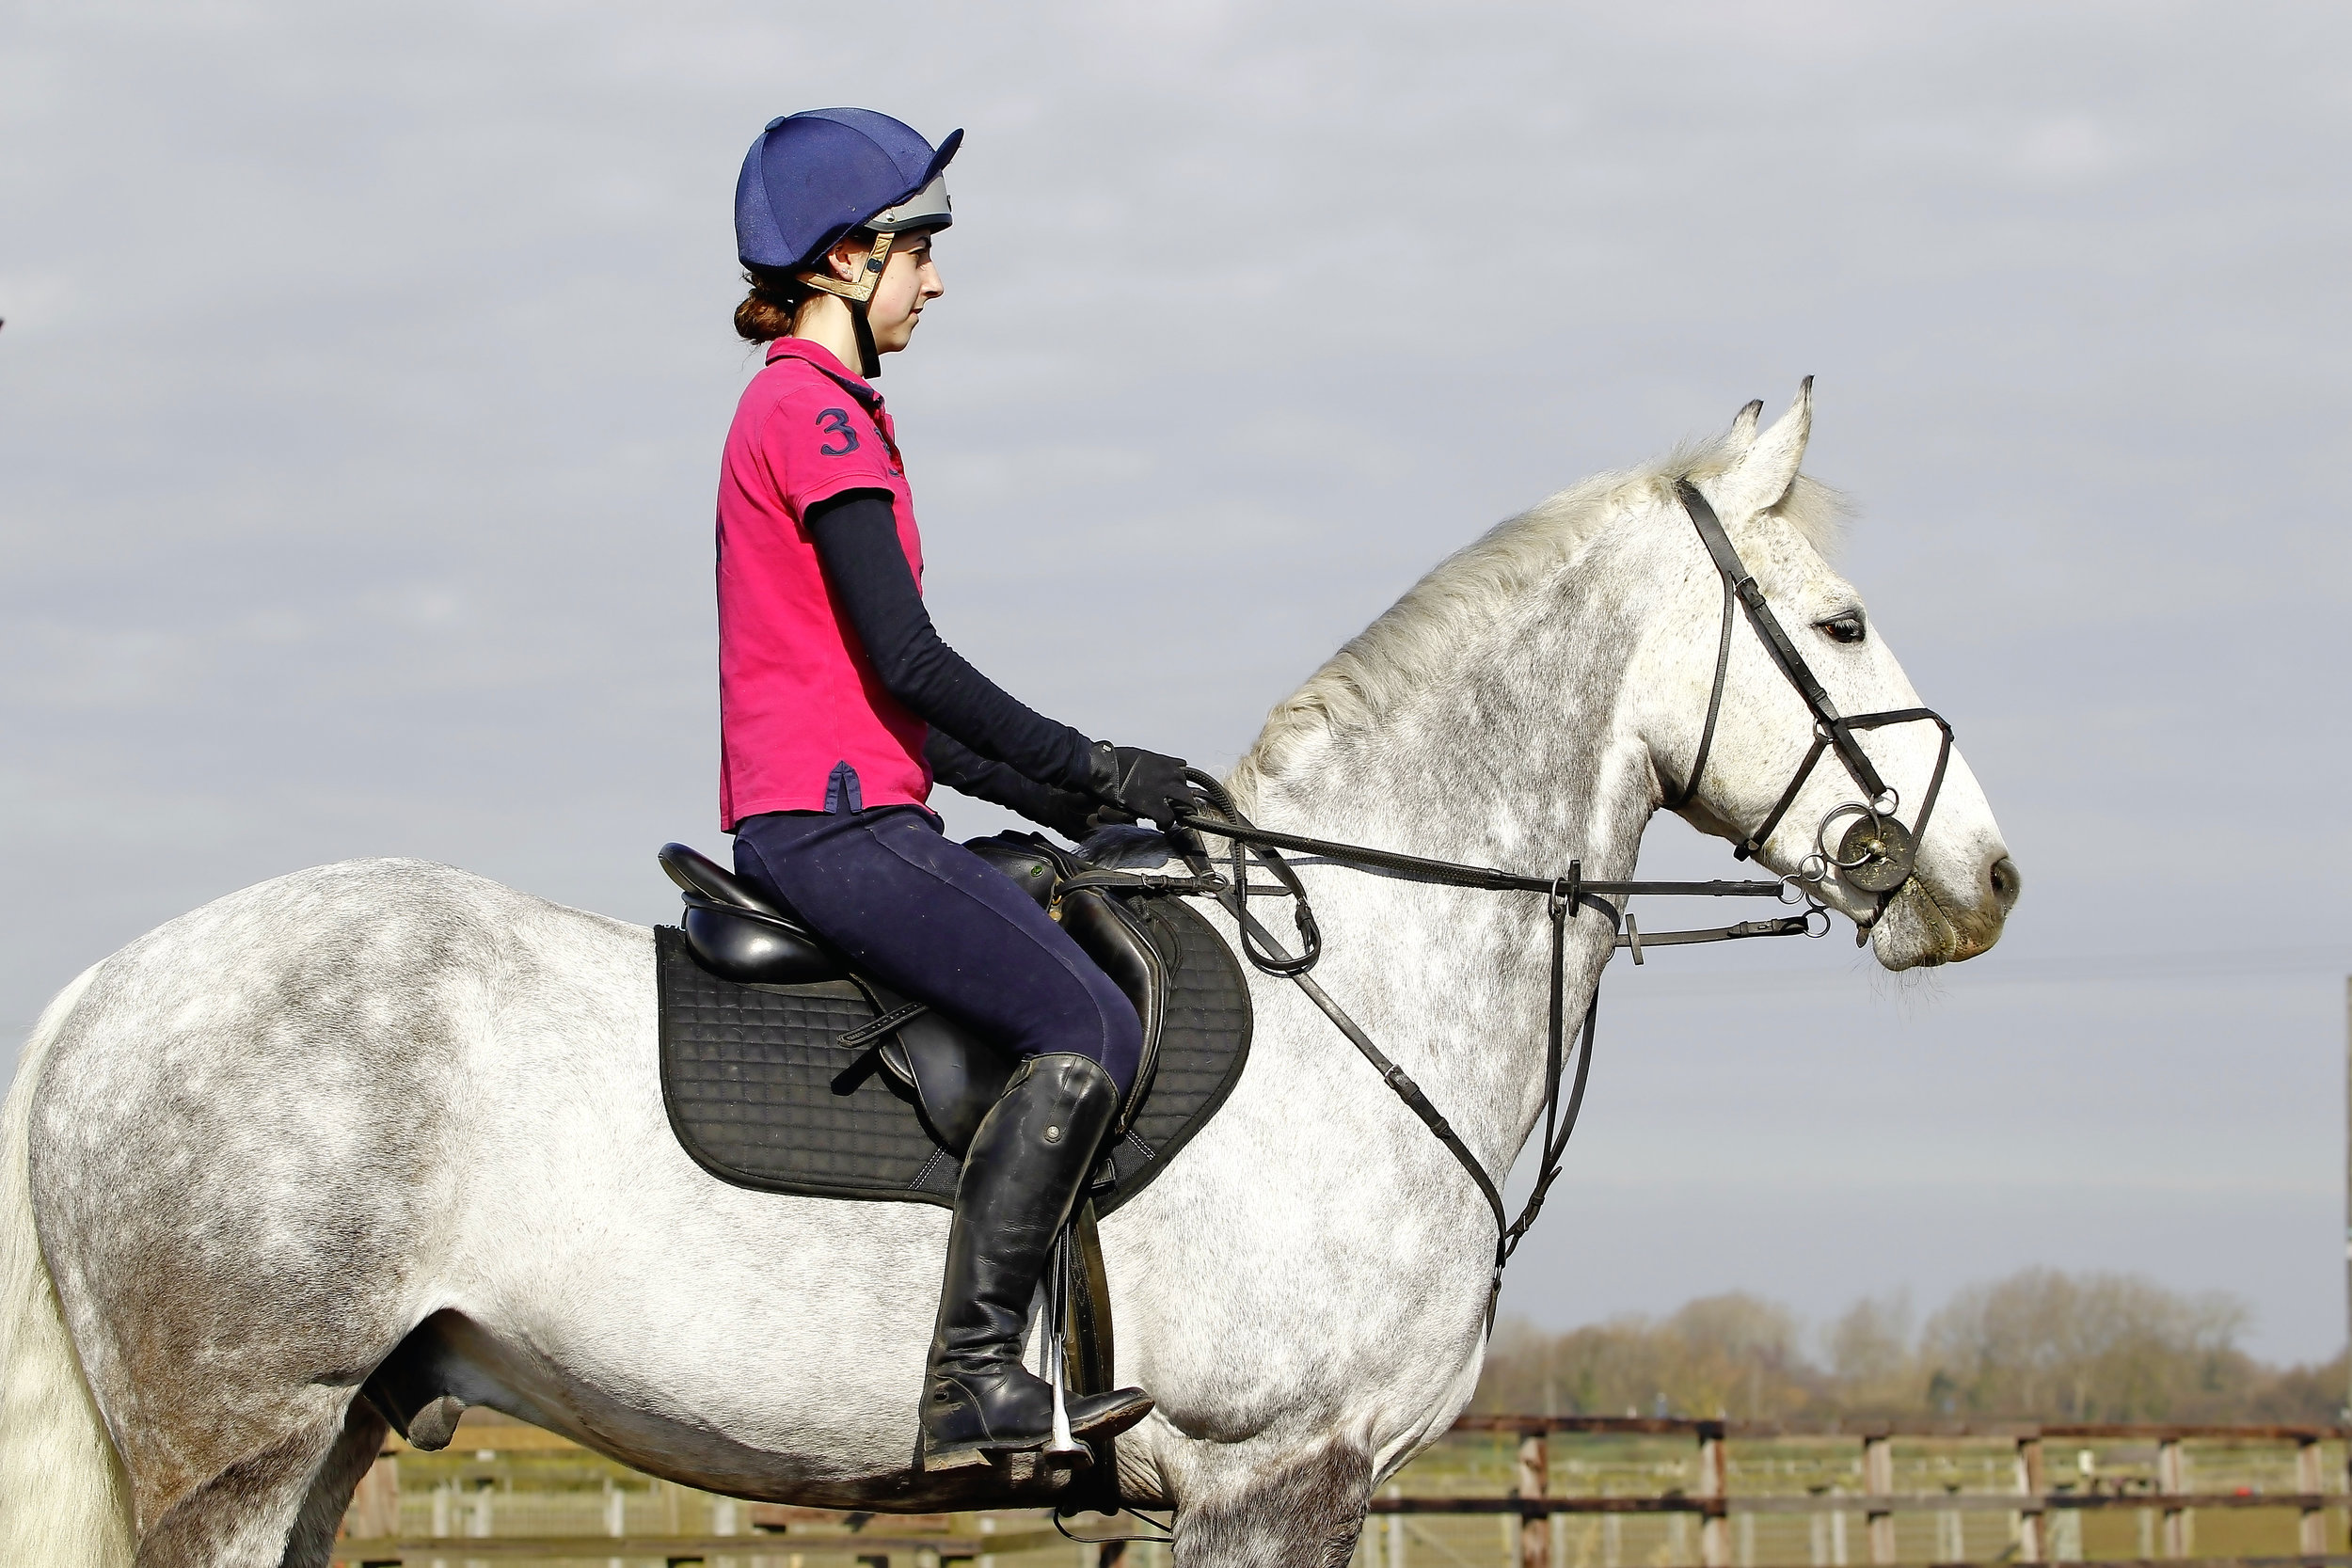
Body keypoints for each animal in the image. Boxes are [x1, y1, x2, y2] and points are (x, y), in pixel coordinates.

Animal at [0, 384, 2018, 1567]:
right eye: (1840, 625)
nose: (1981, 878)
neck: (1370, 975)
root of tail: (103, 989)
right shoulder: (1275, 1476)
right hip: (246, 1448)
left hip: (333, 1435)